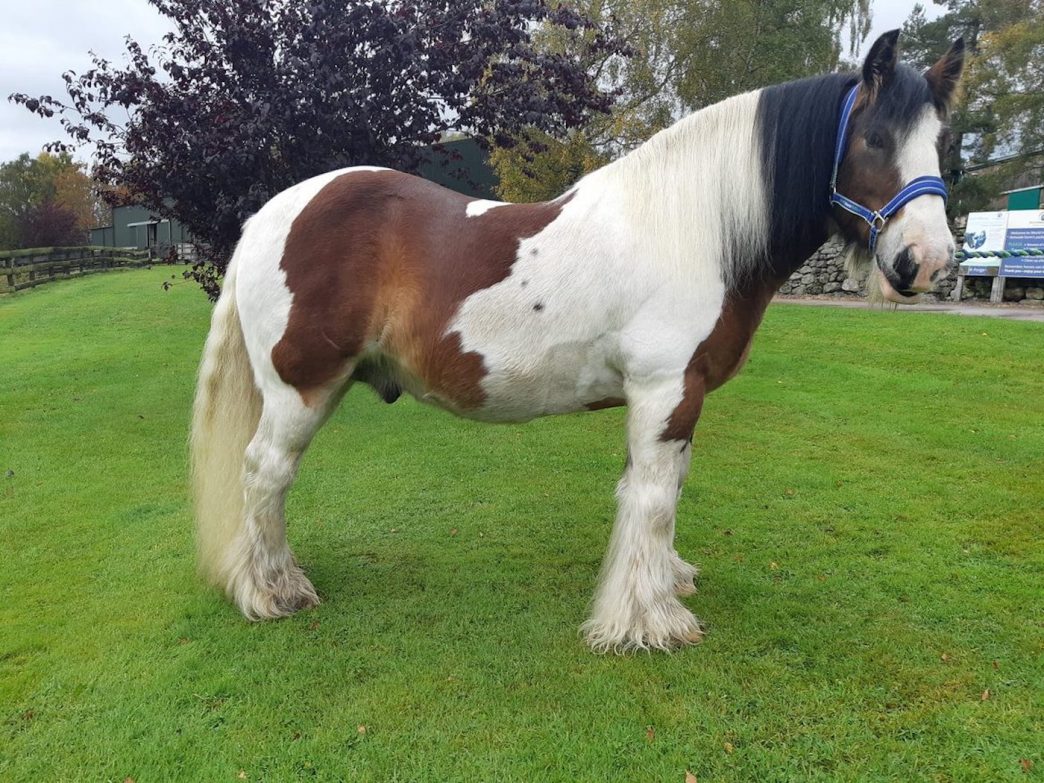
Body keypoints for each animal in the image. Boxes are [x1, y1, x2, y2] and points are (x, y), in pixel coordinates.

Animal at [191, 30, 965, 652]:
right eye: (874, 140)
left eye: (940, 144)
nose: (926, 262)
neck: (693, 227)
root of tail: (271, 214)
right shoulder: (665, 392)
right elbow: (651, 499)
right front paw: (647, 623)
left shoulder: (679, 400)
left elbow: (667, 489)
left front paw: (667, 582)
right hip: (300, 390)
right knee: (265, 475)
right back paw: (273, 592)